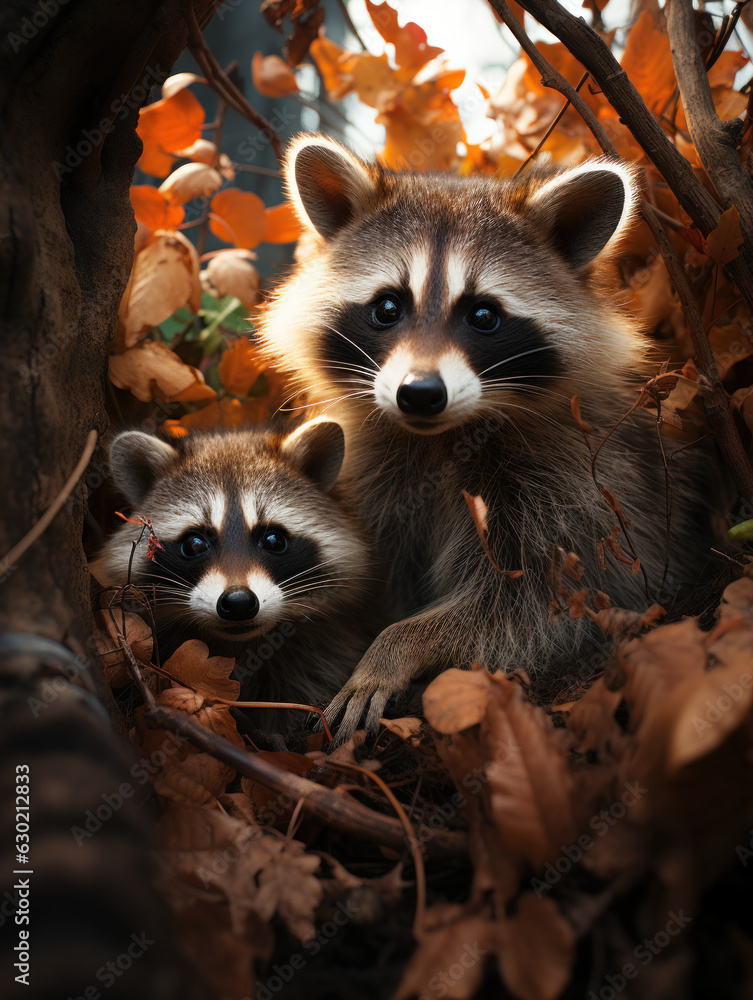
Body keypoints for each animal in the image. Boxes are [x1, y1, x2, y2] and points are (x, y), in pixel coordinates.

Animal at [257, 134, 721, 740]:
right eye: (388, 307)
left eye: (483, 315)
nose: (419, 393)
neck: (441, 436)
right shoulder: (378, 479)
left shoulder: (577, 492)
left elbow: (534, 608)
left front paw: (398, 646)